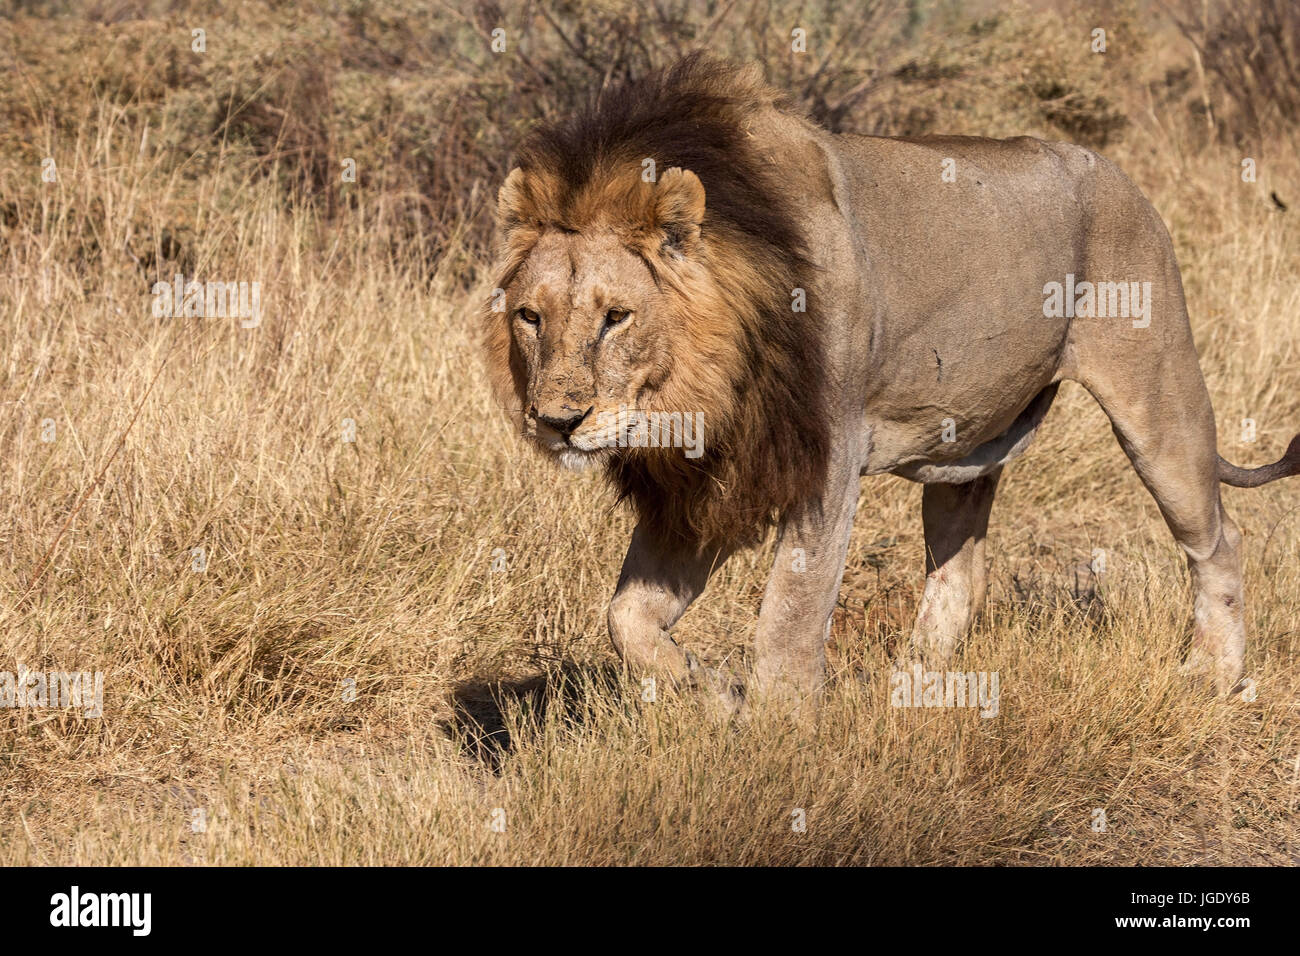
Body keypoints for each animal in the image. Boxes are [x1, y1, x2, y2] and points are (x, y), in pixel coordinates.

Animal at [484, 54, 1300, 716]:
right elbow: (626, 619)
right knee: (960, 574)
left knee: (1218, 538)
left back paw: (1214, 676)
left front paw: (776, 740)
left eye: (616, 317)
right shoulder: (710, 477)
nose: (557, 421)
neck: (702, 388)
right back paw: (911, 690)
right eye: (530, 316)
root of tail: (1119, 172)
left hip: (1158, 395)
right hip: (968, 449)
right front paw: (715, 699)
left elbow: (788, 619)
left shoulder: (825, 460)